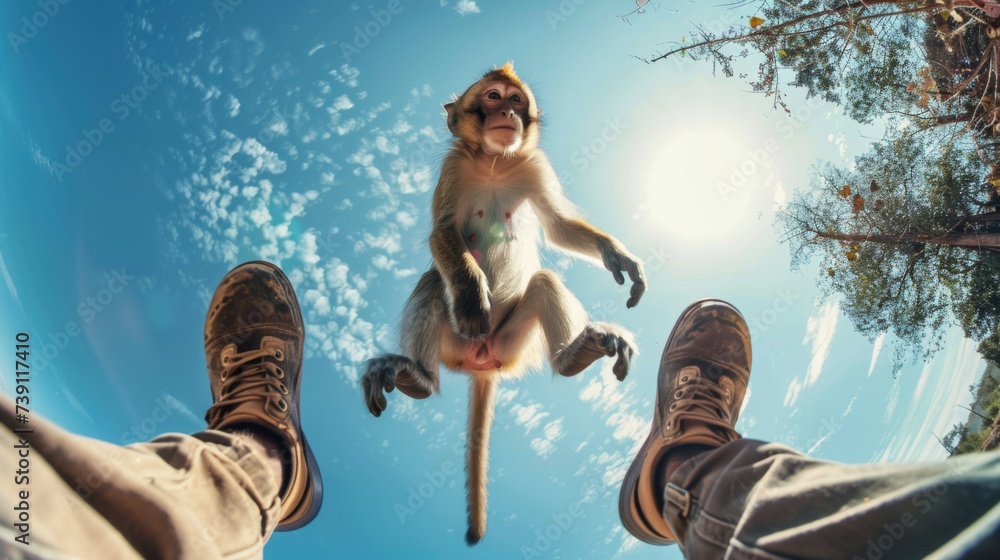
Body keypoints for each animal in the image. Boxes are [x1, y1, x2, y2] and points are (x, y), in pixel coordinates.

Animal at [361, 62, 646, 545]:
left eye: (516, 100)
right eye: (492, 97)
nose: (507, 115)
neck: (494, 162)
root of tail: (483, 361)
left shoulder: (534, 165)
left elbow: (558, 226)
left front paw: (616, 252)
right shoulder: (454, 166)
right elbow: (442, 232)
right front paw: (473, 294)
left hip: (513, 342)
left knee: (544, 280)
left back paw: (575, 353)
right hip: (455, 344)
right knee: (434, 281)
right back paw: (416, 375)